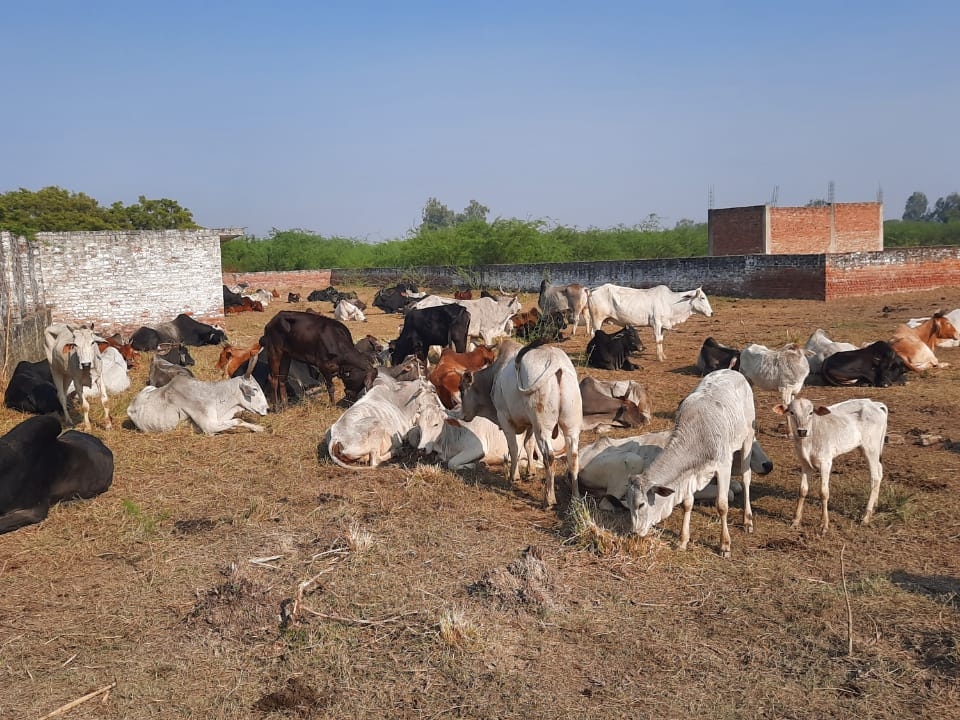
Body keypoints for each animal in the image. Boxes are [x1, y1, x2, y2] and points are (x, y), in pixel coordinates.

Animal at [127, 353, 268, 434]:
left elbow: (238, 420)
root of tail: (131, 405)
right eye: (254, 389)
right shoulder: (208, 425)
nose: (267, 408)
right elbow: (238, 420)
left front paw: (258, 428)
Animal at [459, 338, 582, 508]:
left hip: (542, 428)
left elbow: (514, 448)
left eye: (461, 390)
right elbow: (528, 445)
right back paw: (575, 497)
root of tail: (556, 363)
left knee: (549, 457)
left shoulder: (505, 419)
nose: (463, 415)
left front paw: (514, 476)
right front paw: (530, 472)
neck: (495, 375)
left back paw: (549, 499)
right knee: (574, 456)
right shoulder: (530, 423)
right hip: (571, 427)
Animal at [620, 369, 756, 557]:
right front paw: (683, 540)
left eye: (641, 504)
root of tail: (733, 371)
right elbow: (687, 504)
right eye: (627, 501)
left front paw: (725, 545)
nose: (634, 532)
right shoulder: (690, 475)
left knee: (746, 477)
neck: (698, 434)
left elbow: (722, 505)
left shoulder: (723, 466)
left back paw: (748, 520)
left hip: (748, 437)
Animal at [774, 397, 887, 535]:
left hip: (871, 448)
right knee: (880, 472)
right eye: (791, 412)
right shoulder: (804, 463)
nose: (802, 431)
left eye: (811, 413)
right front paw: (796, 521)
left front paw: (824, 525)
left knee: (875, 477)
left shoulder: (826, 462)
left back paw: (866, 516)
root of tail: (875, 404)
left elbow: (824, 492)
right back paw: (875, 505)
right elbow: (803, 490)